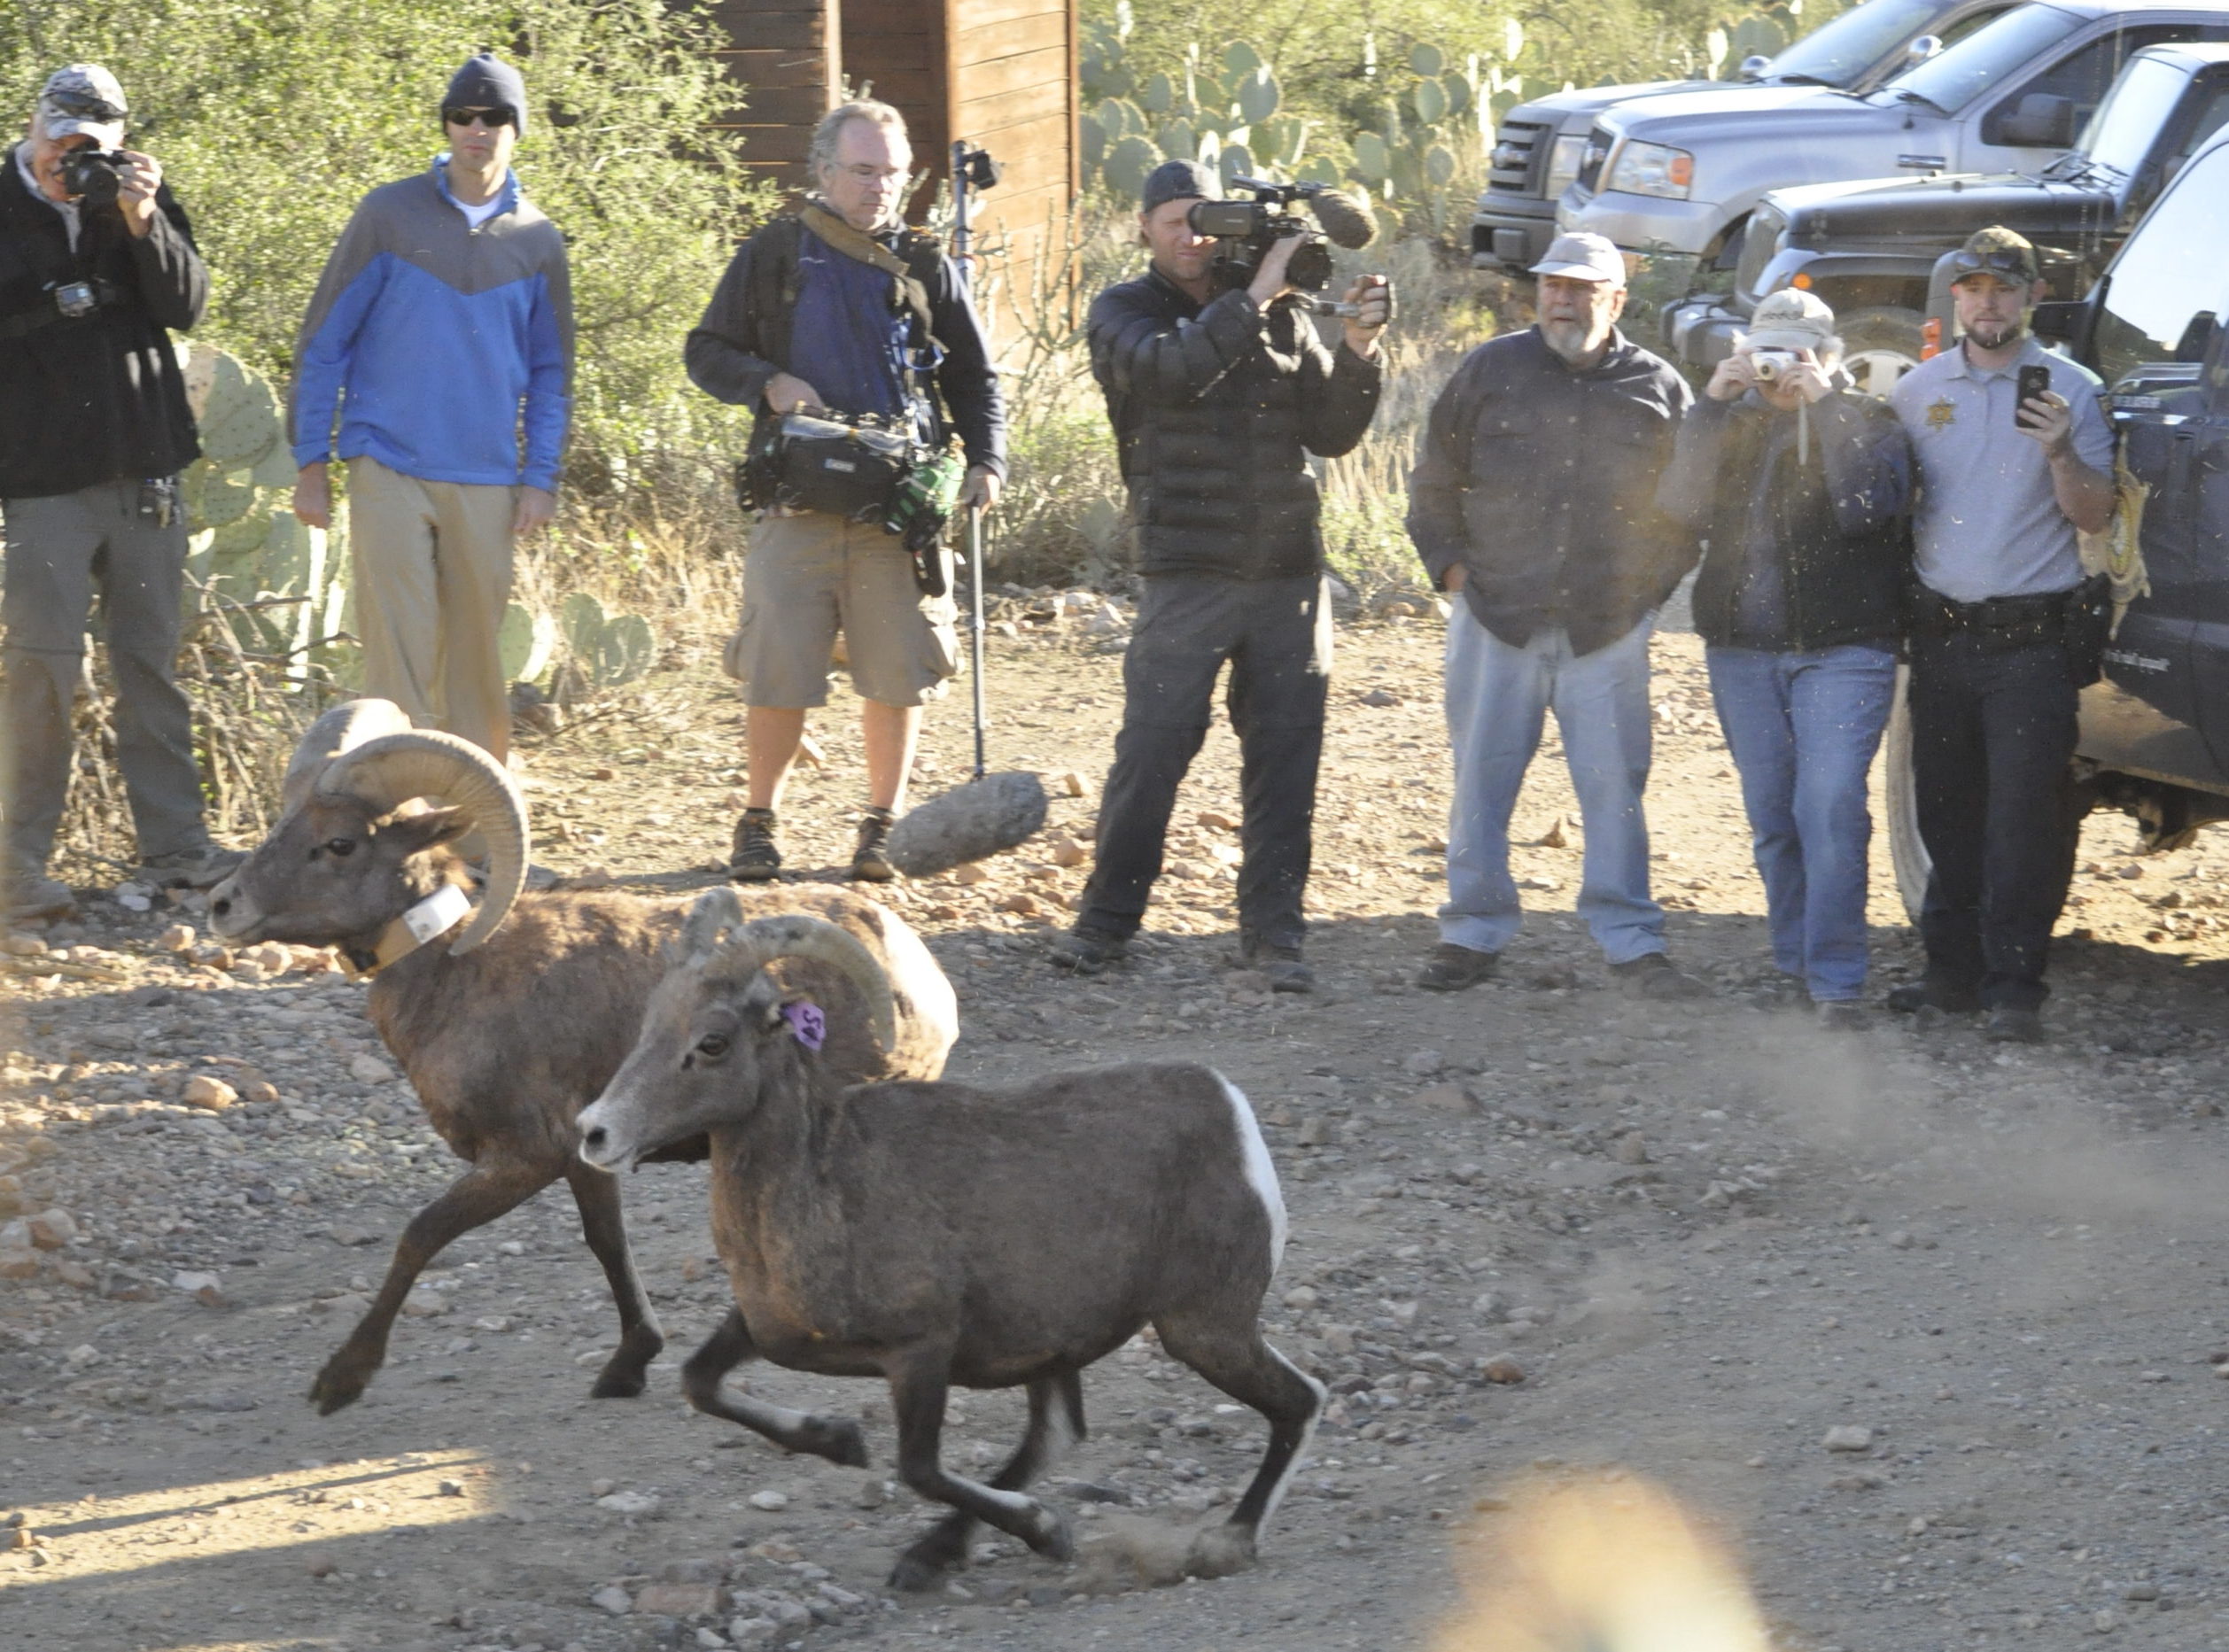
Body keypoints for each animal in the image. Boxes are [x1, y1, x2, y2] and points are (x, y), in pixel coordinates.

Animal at [205, 700, 957, 1415]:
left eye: (338, 842)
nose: (222, 906)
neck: (456, 970)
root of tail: (916, 977)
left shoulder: (523, 1157)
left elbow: (421, 1234)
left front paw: (340, 1381)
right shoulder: (584, 1157)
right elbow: (607, 1244)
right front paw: (628, 1365)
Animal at [575, 889, 1326, 1590]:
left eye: (713, 1043)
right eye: (649, 1024)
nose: (595, 1132)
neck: (819, 1188)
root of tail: (1229, 1111)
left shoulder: (920, 1352)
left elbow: (919, 1467)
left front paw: (1047, 1529)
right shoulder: (762, 1330)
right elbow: (700, 1382)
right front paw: (839, 1440)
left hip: (1202, 1329)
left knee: (1301, 1401)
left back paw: (1225, 1542)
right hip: (1064, 1347)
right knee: (1057, 1432)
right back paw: (934, 1553)